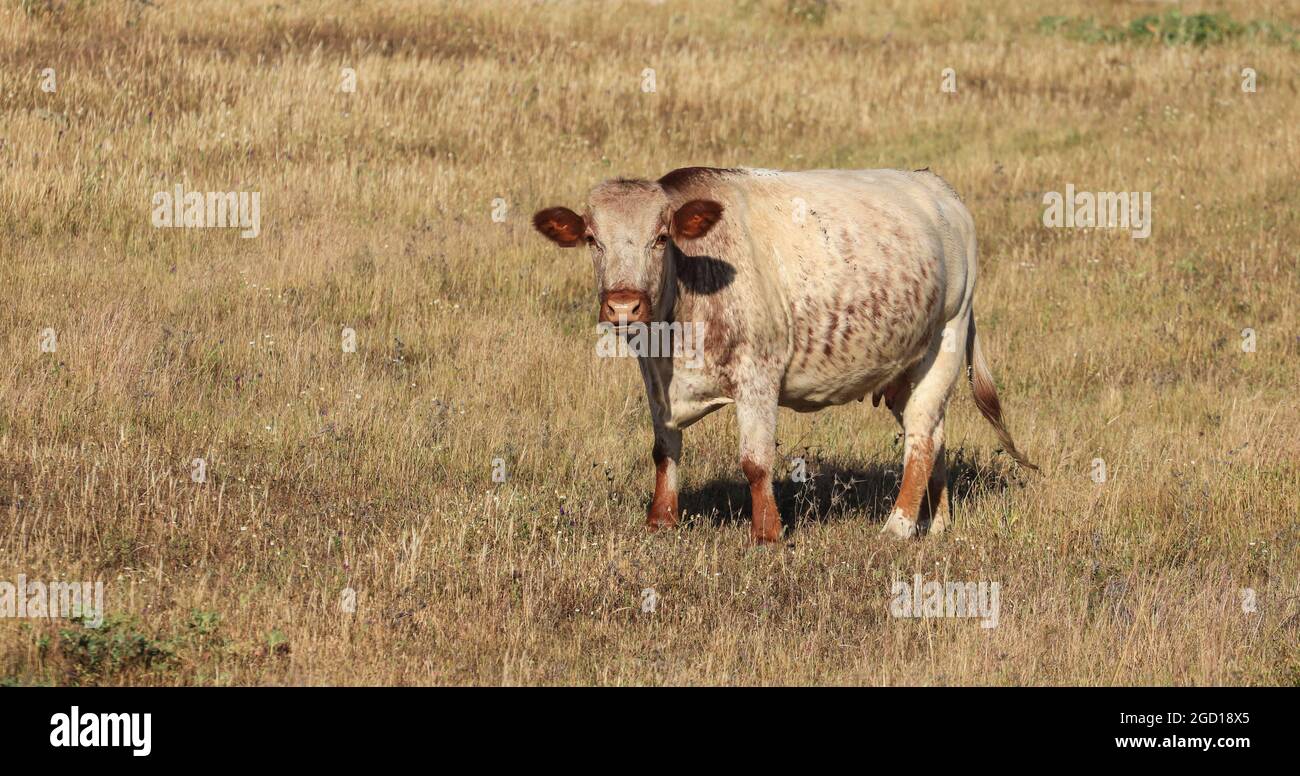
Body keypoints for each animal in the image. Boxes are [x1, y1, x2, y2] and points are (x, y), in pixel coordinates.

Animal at [533, 166, 1035, 543]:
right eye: (592, 239)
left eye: (660, 237)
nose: (623, 305)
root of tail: (937, 187)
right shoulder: (655, 380)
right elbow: (664, 449)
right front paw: (662, 520)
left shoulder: (758, 375)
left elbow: (756, 462)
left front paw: (767, 532)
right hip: (908, 368)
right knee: (936, 435)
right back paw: (937, 521)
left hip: (946, 339)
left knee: (921, 437)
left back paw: (898, 526)